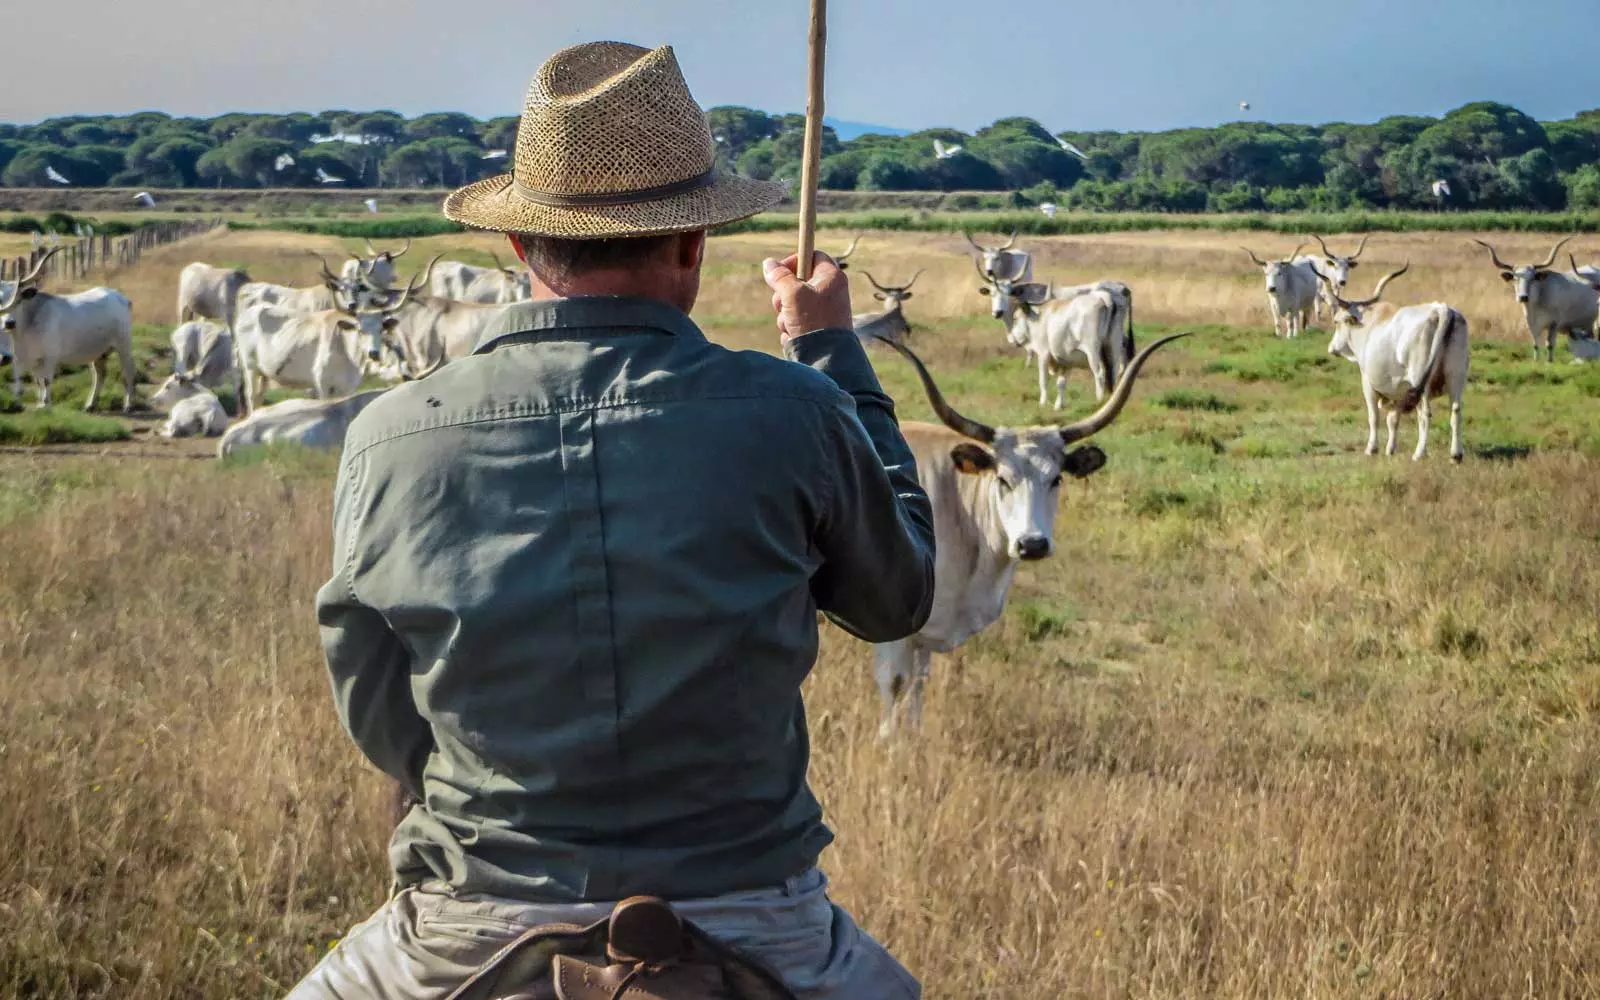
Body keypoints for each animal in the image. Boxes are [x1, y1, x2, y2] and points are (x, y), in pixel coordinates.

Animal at [0, 248, 136, 412]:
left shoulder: (50, 356)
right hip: (99, 352)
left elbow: (46, 380)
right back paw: (90, 404)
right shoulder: (29, 359)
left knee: (128, 371)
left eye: (19, 300)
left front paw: (46, 405)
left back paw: (128, 404)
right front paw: (40, 403)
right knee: (100, 374)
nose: (9, 323)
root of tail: (122, 298)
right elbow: (38, 381)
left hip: (124, 345)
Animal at [864, 332, 1190, 732]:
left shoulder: (926, 631)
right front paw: (888, 743)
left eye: (1057, 478)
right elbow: (895, 684)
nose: (1032, 544)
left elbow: (916, 688)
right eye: (1003, 479)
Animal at [1312, 257, 1472, 460]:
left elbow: (1374, 417)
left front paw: (1372, 448)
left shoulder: (1368, 383)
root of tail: (1441, 310)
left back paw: (1419, 454)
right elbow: (1393, 419)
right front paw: (1391, 449)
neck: (1370, 324)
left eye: (1337, 322)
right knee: (1456, 410)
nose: (1332, 348)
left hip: (1421, 381)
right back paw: (1456, 454)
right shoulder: (1399, 392)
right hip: (1455, 378)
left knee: (1425, 414)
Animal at [1465, 235, 1593, 360]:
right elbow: (1536, 344)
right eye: (1515, 278)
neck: (1537, 304)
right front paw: (1536, 361)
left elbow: (1549, 344)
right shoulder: (1531, 324)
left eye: (1533, 278)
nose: (1523, 297)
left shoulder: (1554, 323)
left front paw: (1549, 362)